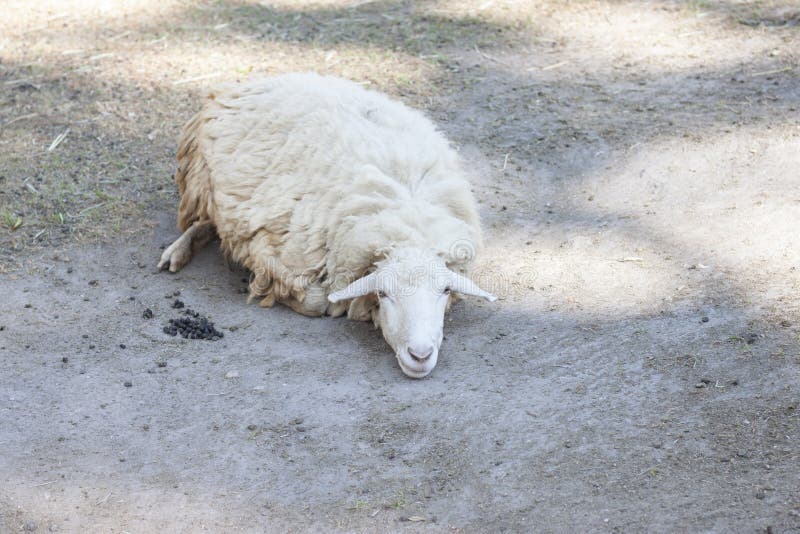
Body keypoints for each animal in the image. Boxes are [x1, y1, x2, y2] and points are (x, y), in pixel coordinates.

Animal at [158, 72, 495, 378]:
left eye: (446, 290)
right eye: (383, 293)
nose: (420, 355)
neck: (407, 223)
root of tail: (253, 81)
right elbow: (315, 300)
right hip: (202, 178)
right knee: (205, 220)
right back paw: (177, 252)